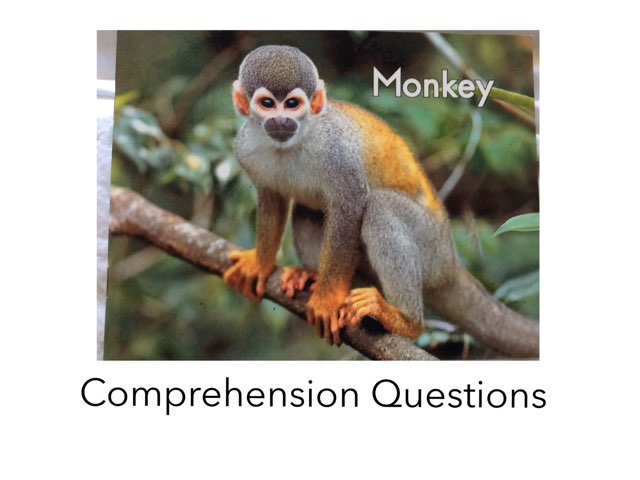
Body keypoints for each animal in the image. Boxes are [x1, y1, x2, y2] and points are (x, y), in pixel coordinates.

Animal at [223, 45, 539, 357]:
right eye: (267, 103)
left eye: (291, 104)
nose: (281, 120)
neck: (289, 145)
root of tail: (451, 263)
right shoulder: (245, 149)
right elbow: (272, 198)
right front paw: (260, 264)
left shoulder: (336, 153)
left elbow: (351, 204)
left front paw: (328, 299)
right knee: (307, 211)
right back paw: (310, 275)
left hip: (431, 246)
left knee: (380, 207)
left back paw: (405, 320)